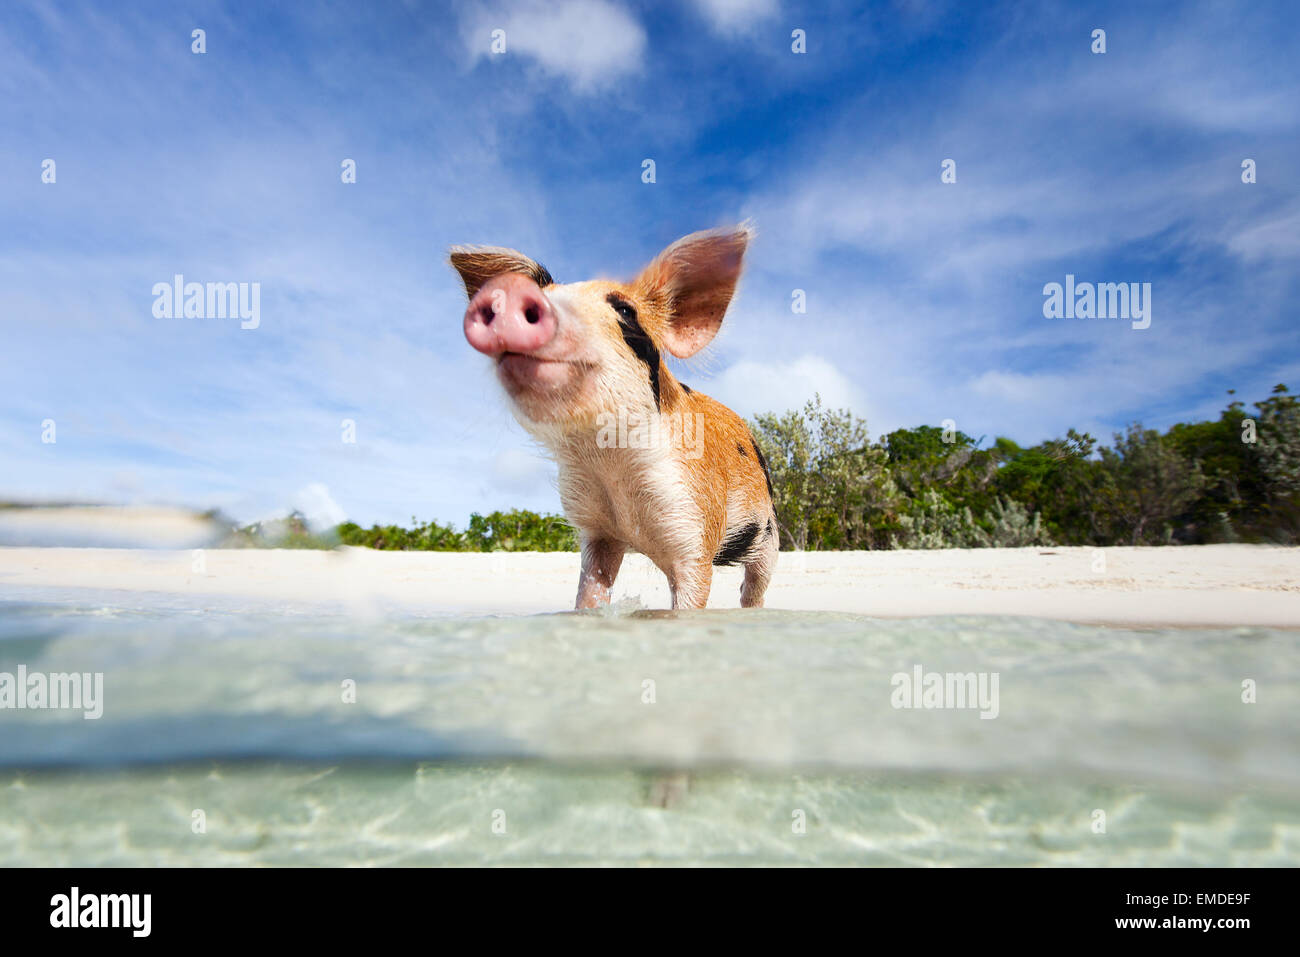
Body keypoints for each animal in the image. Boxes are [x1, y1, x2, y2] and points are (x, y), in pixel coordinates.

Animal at [452, 224, 777, 611]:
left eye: (624, 309)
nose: (513, 293)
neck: (608, 463)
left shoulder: (695, 526)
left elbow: (692, 594)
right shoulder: (597, 532)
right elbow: (591, 591)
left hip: (769, 530)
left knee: (754, 586)